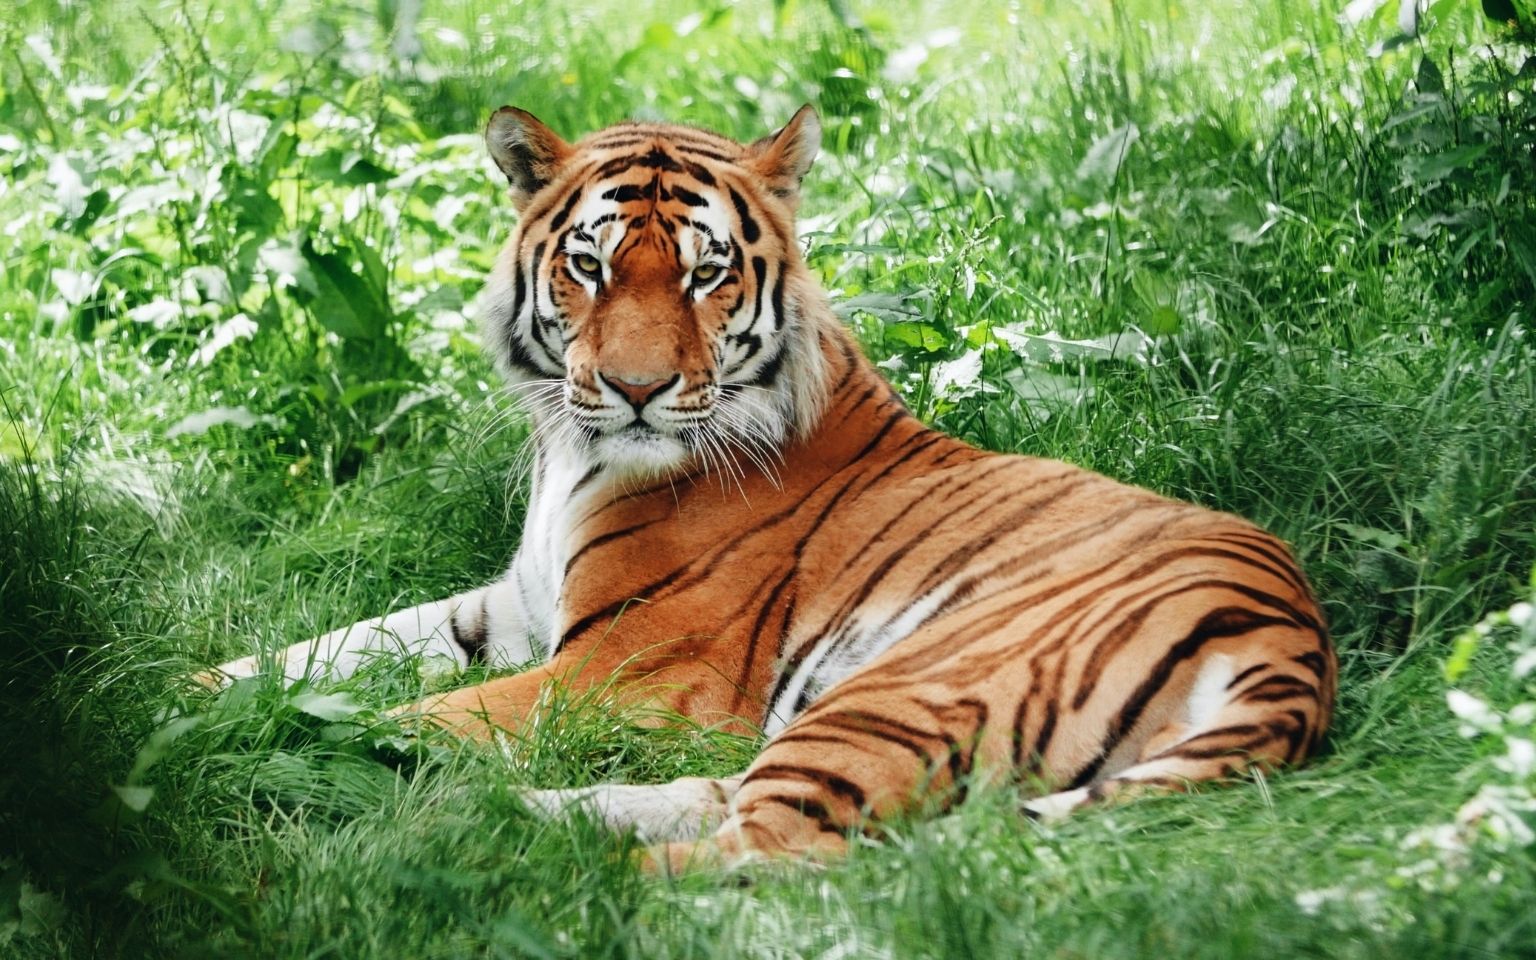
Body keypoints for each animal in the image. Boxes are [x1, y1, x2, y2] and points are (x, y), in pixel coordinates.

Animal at [208, 104, 1335, 872]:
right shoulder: (510, 609)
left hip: (897, 687)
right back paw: (495, 820)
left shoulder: (625, 670)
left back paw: (506, 862)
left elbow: (418, 713)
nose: (636, 390)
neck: (575, 457)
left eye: (706, 274)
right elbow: (318, 653)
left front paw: (278, 747)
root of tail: (1293, 641)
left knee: (767, 855)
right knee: (726, 803)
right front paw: (191, 697)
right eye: (590, 267)